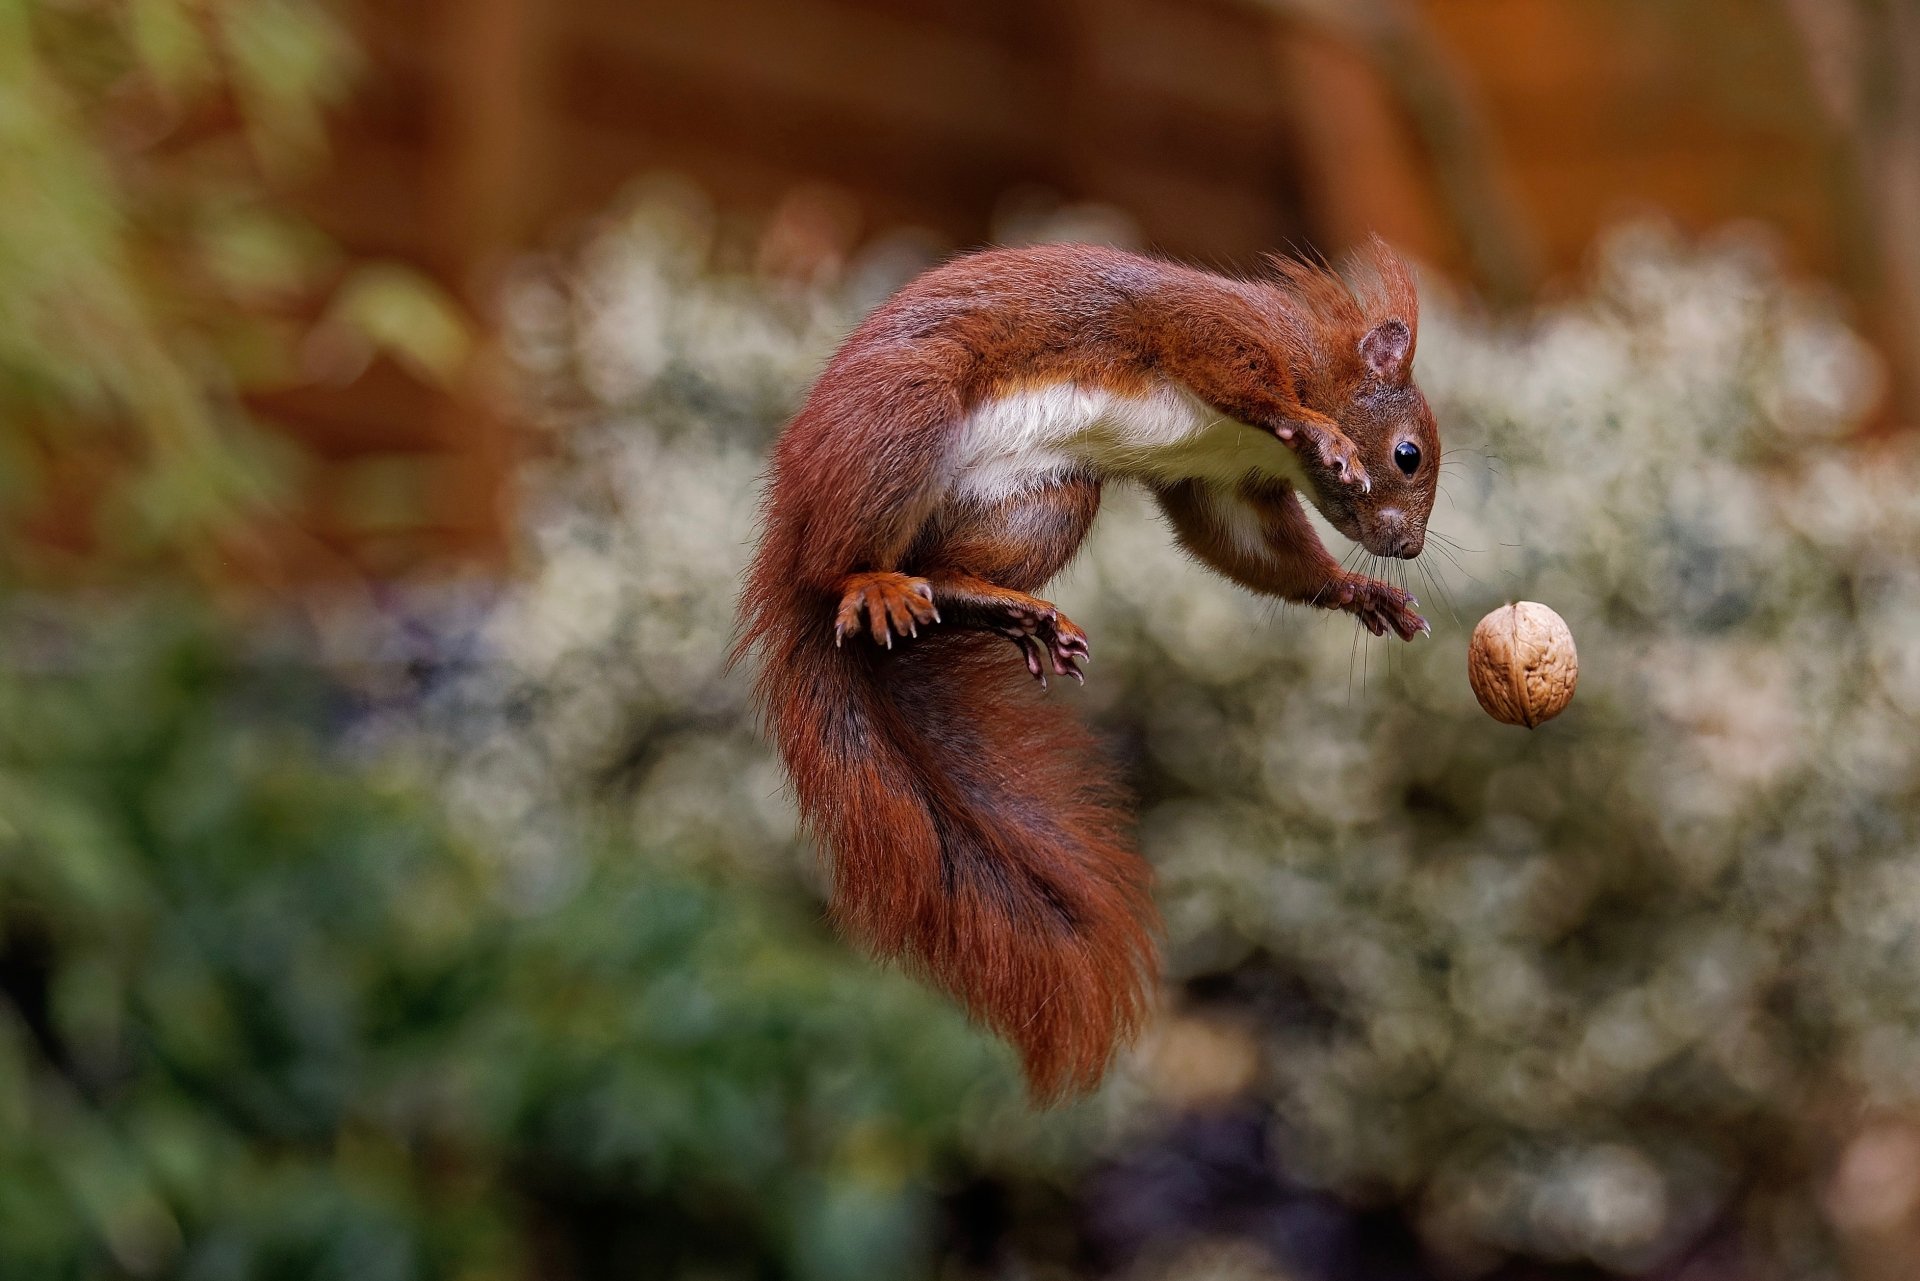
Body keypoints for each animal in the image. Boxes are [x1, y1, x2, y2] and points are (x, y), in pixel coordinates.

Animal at [736, 236, 1439, 1099]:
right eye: (1407, 454)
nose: (1407, 547)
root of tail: (798, 510)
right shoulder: (1221, 329)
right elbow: (1234, 368)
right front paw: (1320, 430)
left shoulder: (1218, 480)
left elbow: (1246, 543)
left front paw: (1360, 592)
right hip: (901, 420)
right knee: (835, 561)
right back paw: (867, 580)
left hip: (1049, 501)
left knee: (941, 570)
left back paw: (1006, 610)